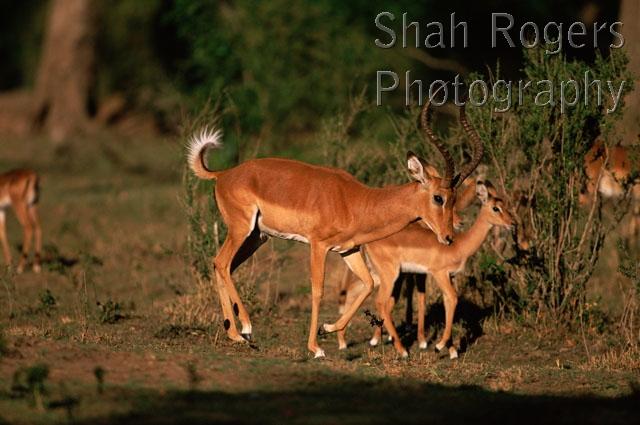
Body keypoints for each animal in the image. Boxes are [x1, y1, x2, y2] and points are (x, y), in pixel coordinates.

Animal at [186, 97, 484, 358]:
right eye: (438, 197)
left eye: (454, 198)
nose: (448, 236)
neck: (357, 201)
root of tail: (223, 174)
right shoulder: (319, 245)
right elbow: (318, 290)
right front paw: (316, 348)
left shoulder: (348, 250)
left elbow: (368, 284)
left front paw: (329, 328)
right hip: (242, 230)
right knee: (222, 262)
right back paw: (246, 329)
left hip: (256, 238)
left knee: (222, 265)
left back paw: (236, 334)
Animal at [337, 180, 514, 358]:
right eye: (495, 208)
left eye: (505, 205)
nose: (512, 223)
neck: (458, 246)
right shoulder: (439, 273)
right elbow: (453, 298)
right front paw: (439, 346)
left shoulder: (450, 276)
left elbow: (448, 303)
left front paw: (451, 350)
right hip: (390, 274)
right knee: (379, 301)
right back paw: (401, 350)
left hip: (378, 273)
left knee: (356, 289)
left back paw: (344, 339)